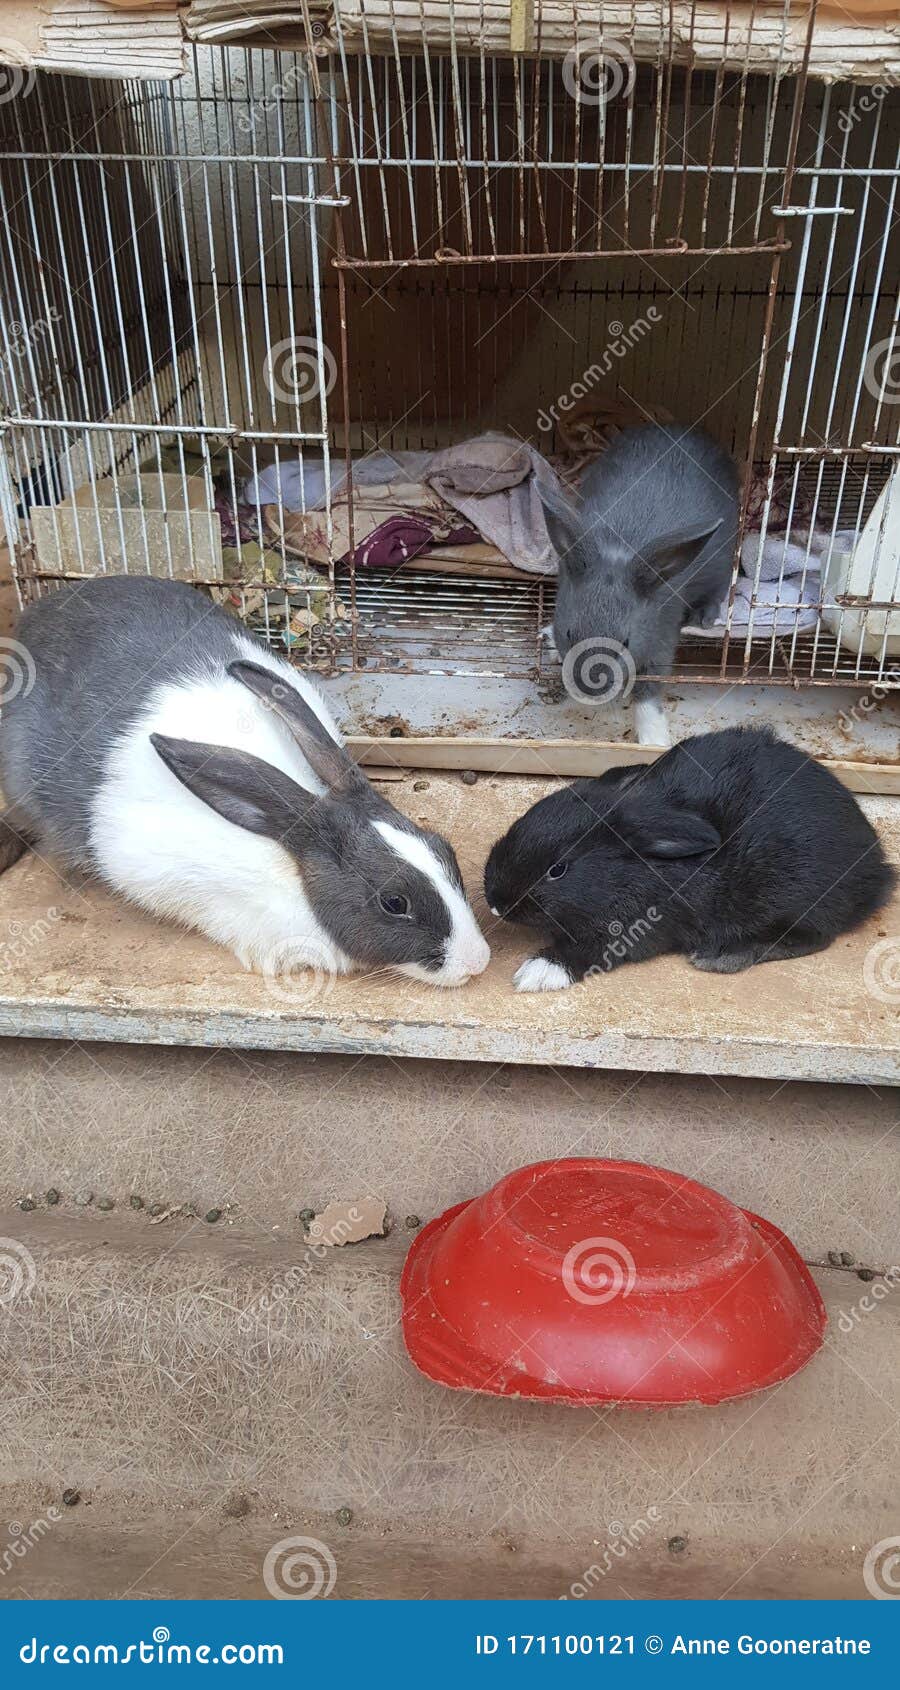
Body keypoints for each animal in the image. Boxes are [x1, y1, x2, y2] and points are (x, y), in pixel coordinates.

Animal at [484, 725, 895, 992]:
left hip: (792, 896)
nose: (495, 903)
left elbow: (589, 951)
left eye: (558, 870)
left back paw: (723, 956)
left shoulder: (633, 928)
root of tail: (878, 870)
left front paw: (536, 973)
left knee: (812, 938)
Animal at [540, 424, 740, 748]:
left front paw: (654, 740)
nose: (588, 688)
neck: (620, 547)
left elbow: (648, 694)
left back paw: (705, 617)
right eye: (569, 634)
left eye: (626, 642)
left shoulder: (661, 640)